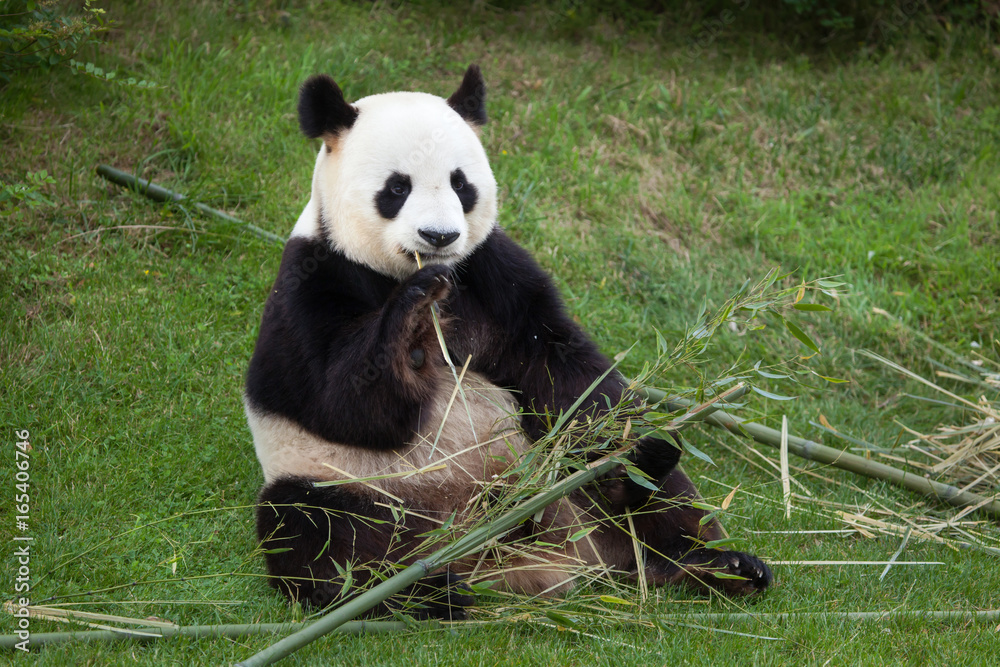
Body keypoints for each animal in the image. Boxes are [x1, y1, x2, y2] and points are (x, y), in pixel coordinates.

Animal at [245, 65, 772, 619]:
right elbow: (341, 399)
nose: (439, 237)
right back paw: (421, 592)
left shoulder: (492, 272)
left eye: (461, 184)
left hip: (556, 475)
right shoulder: (311, 282)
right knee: (316, 529)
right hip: (358, 486)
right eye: (397, 188)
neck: (402, 271)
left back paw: (705, 557)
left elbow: (562, 372)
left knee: (657, 490)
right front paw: (414, 314)